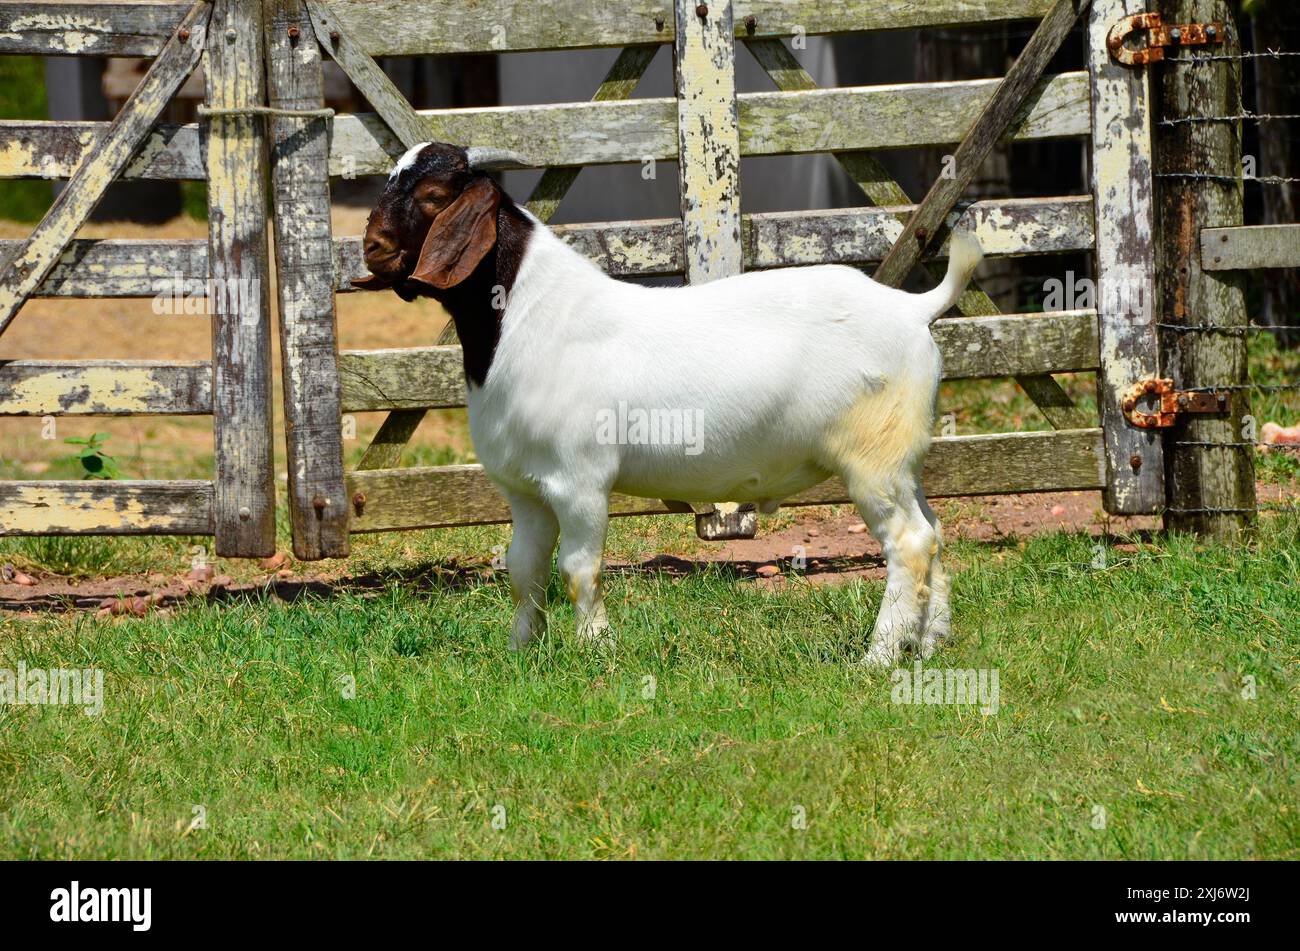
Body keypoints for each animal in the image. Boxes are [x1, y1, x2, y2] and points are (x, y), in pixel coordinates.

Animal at [356, 142, 983, 666]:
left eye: (434, 195)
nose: (371, 248)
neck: (527, 319)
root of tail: (912, 309)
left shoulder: (579, 482)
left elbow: (578, 569)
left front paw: (597, 651)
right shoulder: (525, 490)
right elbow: (524, 570)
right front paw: (519, 653)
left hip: (872, 458)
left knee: (909, 542)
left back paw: (878, 657)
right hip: (904, 461)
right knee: (934, 532)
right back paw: (929, 644)